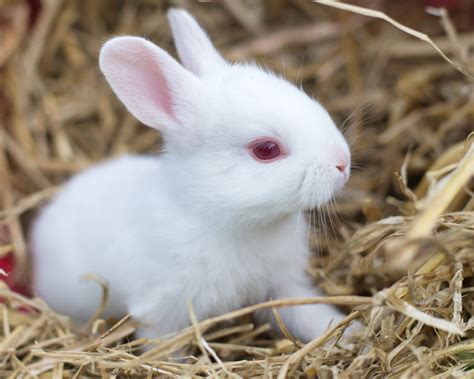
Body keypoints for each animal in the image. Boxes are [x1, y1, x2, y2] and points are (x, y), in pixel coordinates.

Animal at [28, 8, 348, 342]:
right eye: (266, 149)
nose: (342, 162)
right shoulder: (161, 314)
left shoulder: (283, 286)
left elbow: (308, 314)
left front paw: (352, 333)